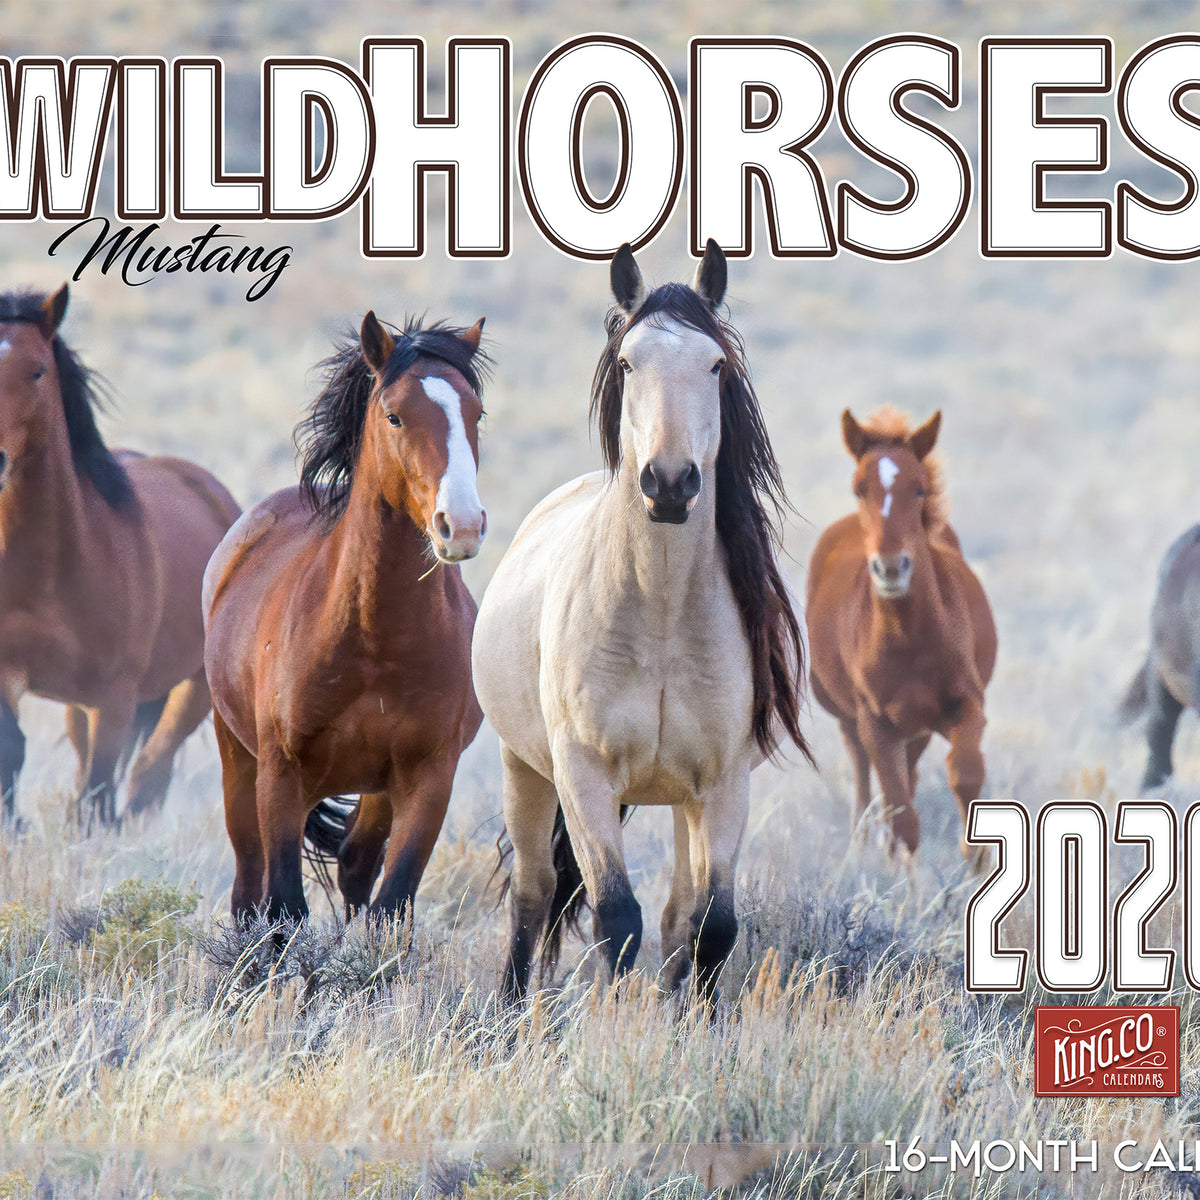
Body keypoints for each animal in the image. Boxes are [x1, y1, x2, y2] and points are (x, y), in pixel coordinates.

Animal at [0, 285, 240, 826]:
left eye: (38, 371)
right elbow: (13, 750)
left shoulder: (114, 700)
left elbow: (98, 792)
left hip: (192, 691)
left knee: (148, 774)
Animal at [203, 310, 488, 924]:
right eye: (394, 415)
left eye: (476, 412)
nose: (461, 525)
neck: (374, 640)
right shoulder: (281, 776)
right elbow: (284, 906)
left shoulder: (427, 779)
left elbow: (390, 903)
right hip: (238, 760)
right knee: (249, 882)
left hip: (375, 792)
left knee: (357, 866)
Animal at [473, 240, 810, 1005]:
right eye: (628, 362)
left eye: (716, 365)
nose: (671, 483)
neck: (658, 618)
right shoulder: (584, 775)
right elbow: (613, 916)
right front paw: (613, 1022)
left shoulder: (723, 784)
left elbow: (710, 924)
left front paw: (692, 1026)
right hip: (522, 769)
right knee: (533, 893)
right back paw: (508, 1013)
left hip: (683, 803)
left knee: (678, 911)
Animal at [806, 407, 997, 860]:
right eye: (859, 488)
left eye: (919, 488)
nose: (891, 568)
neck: (909, 640)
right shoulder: (876, 724)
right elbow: (900, 815)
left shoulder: (967, 704)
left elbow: (964, 772)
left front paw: (976, 858)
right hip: (850, 715)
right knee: (861, 765)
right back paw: (860, 839)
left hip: (918, 726)